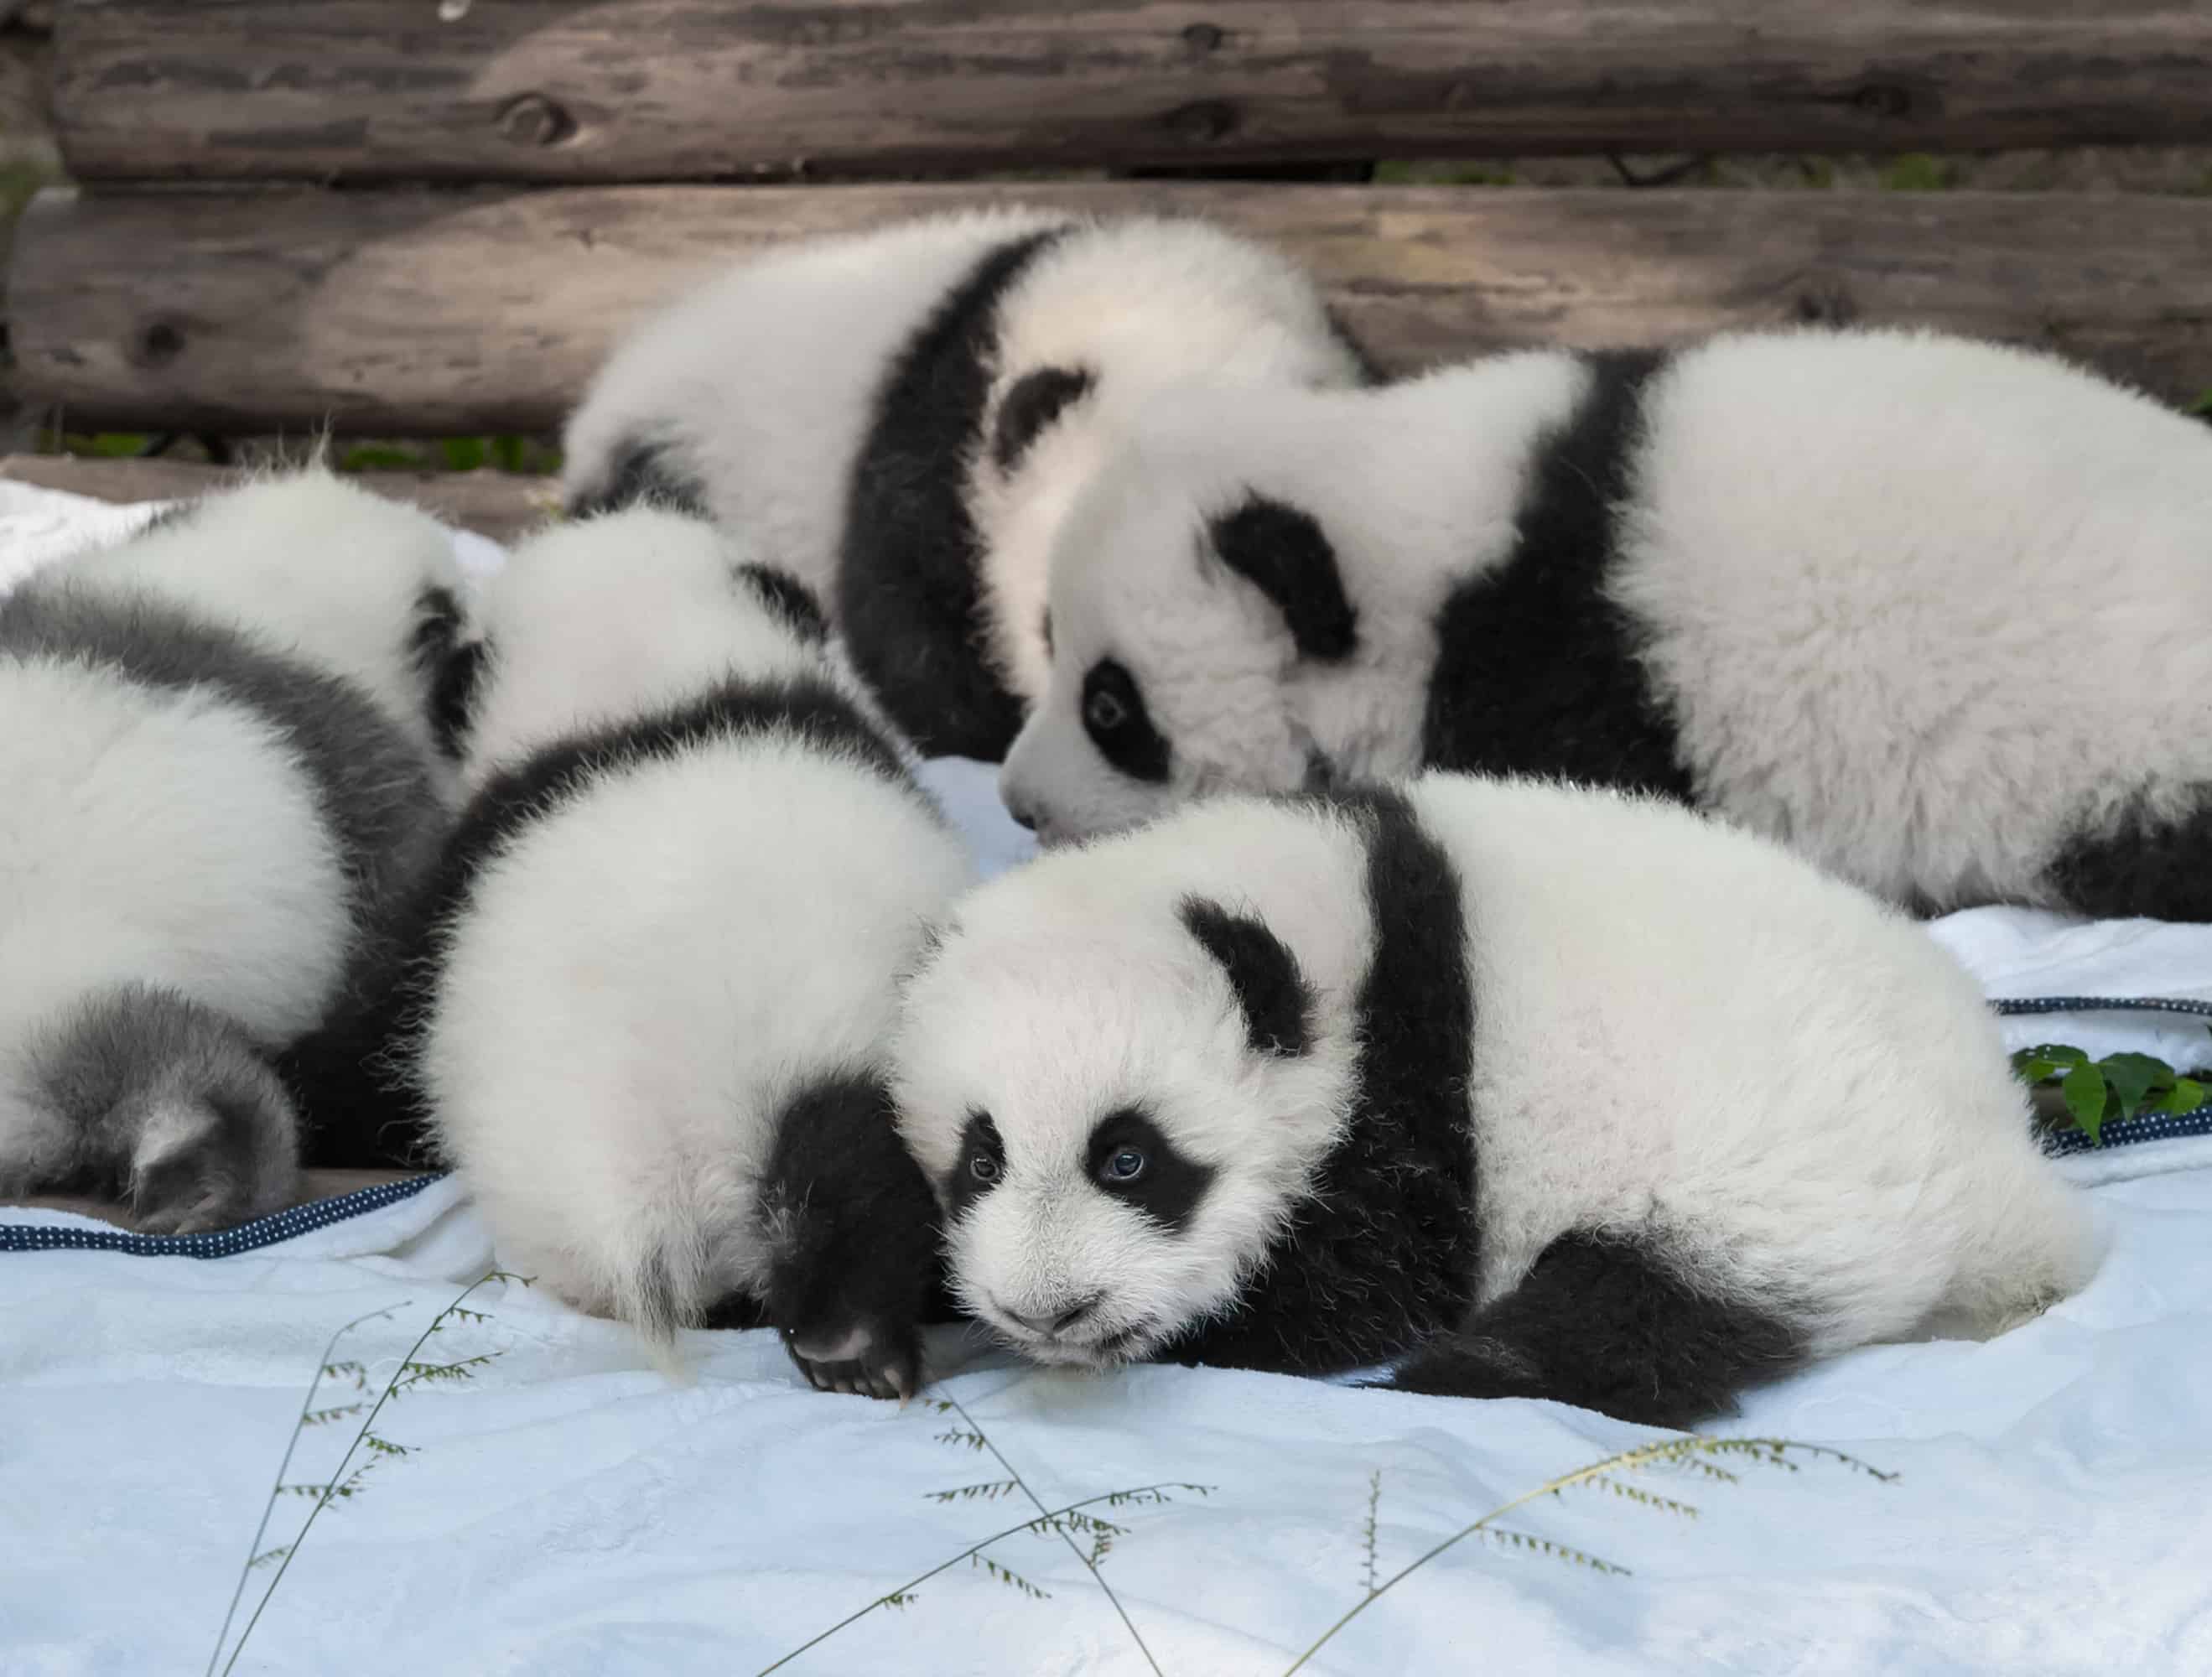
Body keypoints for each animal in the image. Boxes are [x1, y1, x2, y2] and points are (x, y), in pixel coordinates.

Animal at [300, 507, 971, 1398]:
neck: (641, 682)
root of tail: (648, 1186)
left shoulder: (457, 878)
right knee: (858, 1166)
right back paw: (854, 1340)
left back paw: (849, 1342)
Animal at [891, 774, 2098, 1428]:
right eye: (980, 1159)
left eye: (1129, 1158)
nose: (1049, 1311)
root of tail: (2003, 1185)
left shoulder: (1408, 1102)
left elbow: (1362, 1284)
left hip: (1778, 1180)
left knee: (1642, 1310)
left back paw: (1461, 1374)